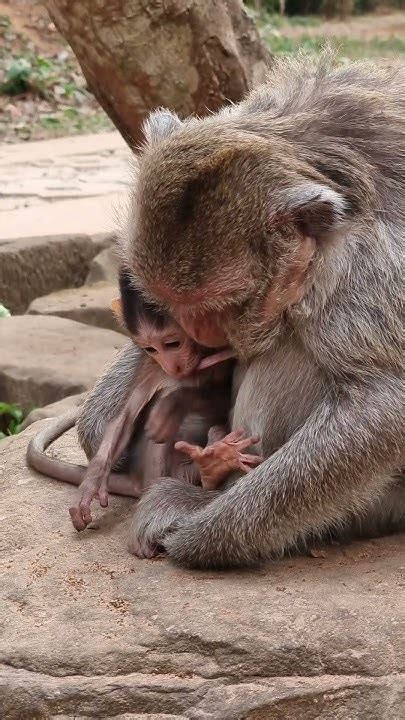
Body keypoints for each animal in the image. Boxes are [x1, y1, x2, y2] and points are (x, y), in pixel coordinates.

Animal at [27, 268, 261, 535]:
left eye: (172, 343)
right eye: (151, 348)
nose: (172, 367)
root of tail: (140, 482)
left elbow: (220, 394)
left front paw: (174, 404)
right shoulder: (149, 365)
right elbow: (127, 414)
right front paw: (92, 481)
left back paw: (213, 464)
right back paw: (211, 465)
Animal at [77, 52, 405, 569]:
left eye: (224, 306)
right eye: (168, 307)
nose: (202, 340)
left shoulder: (371, 268)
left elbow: (383, 406)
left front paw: (205, 535)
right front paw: (104, 432)